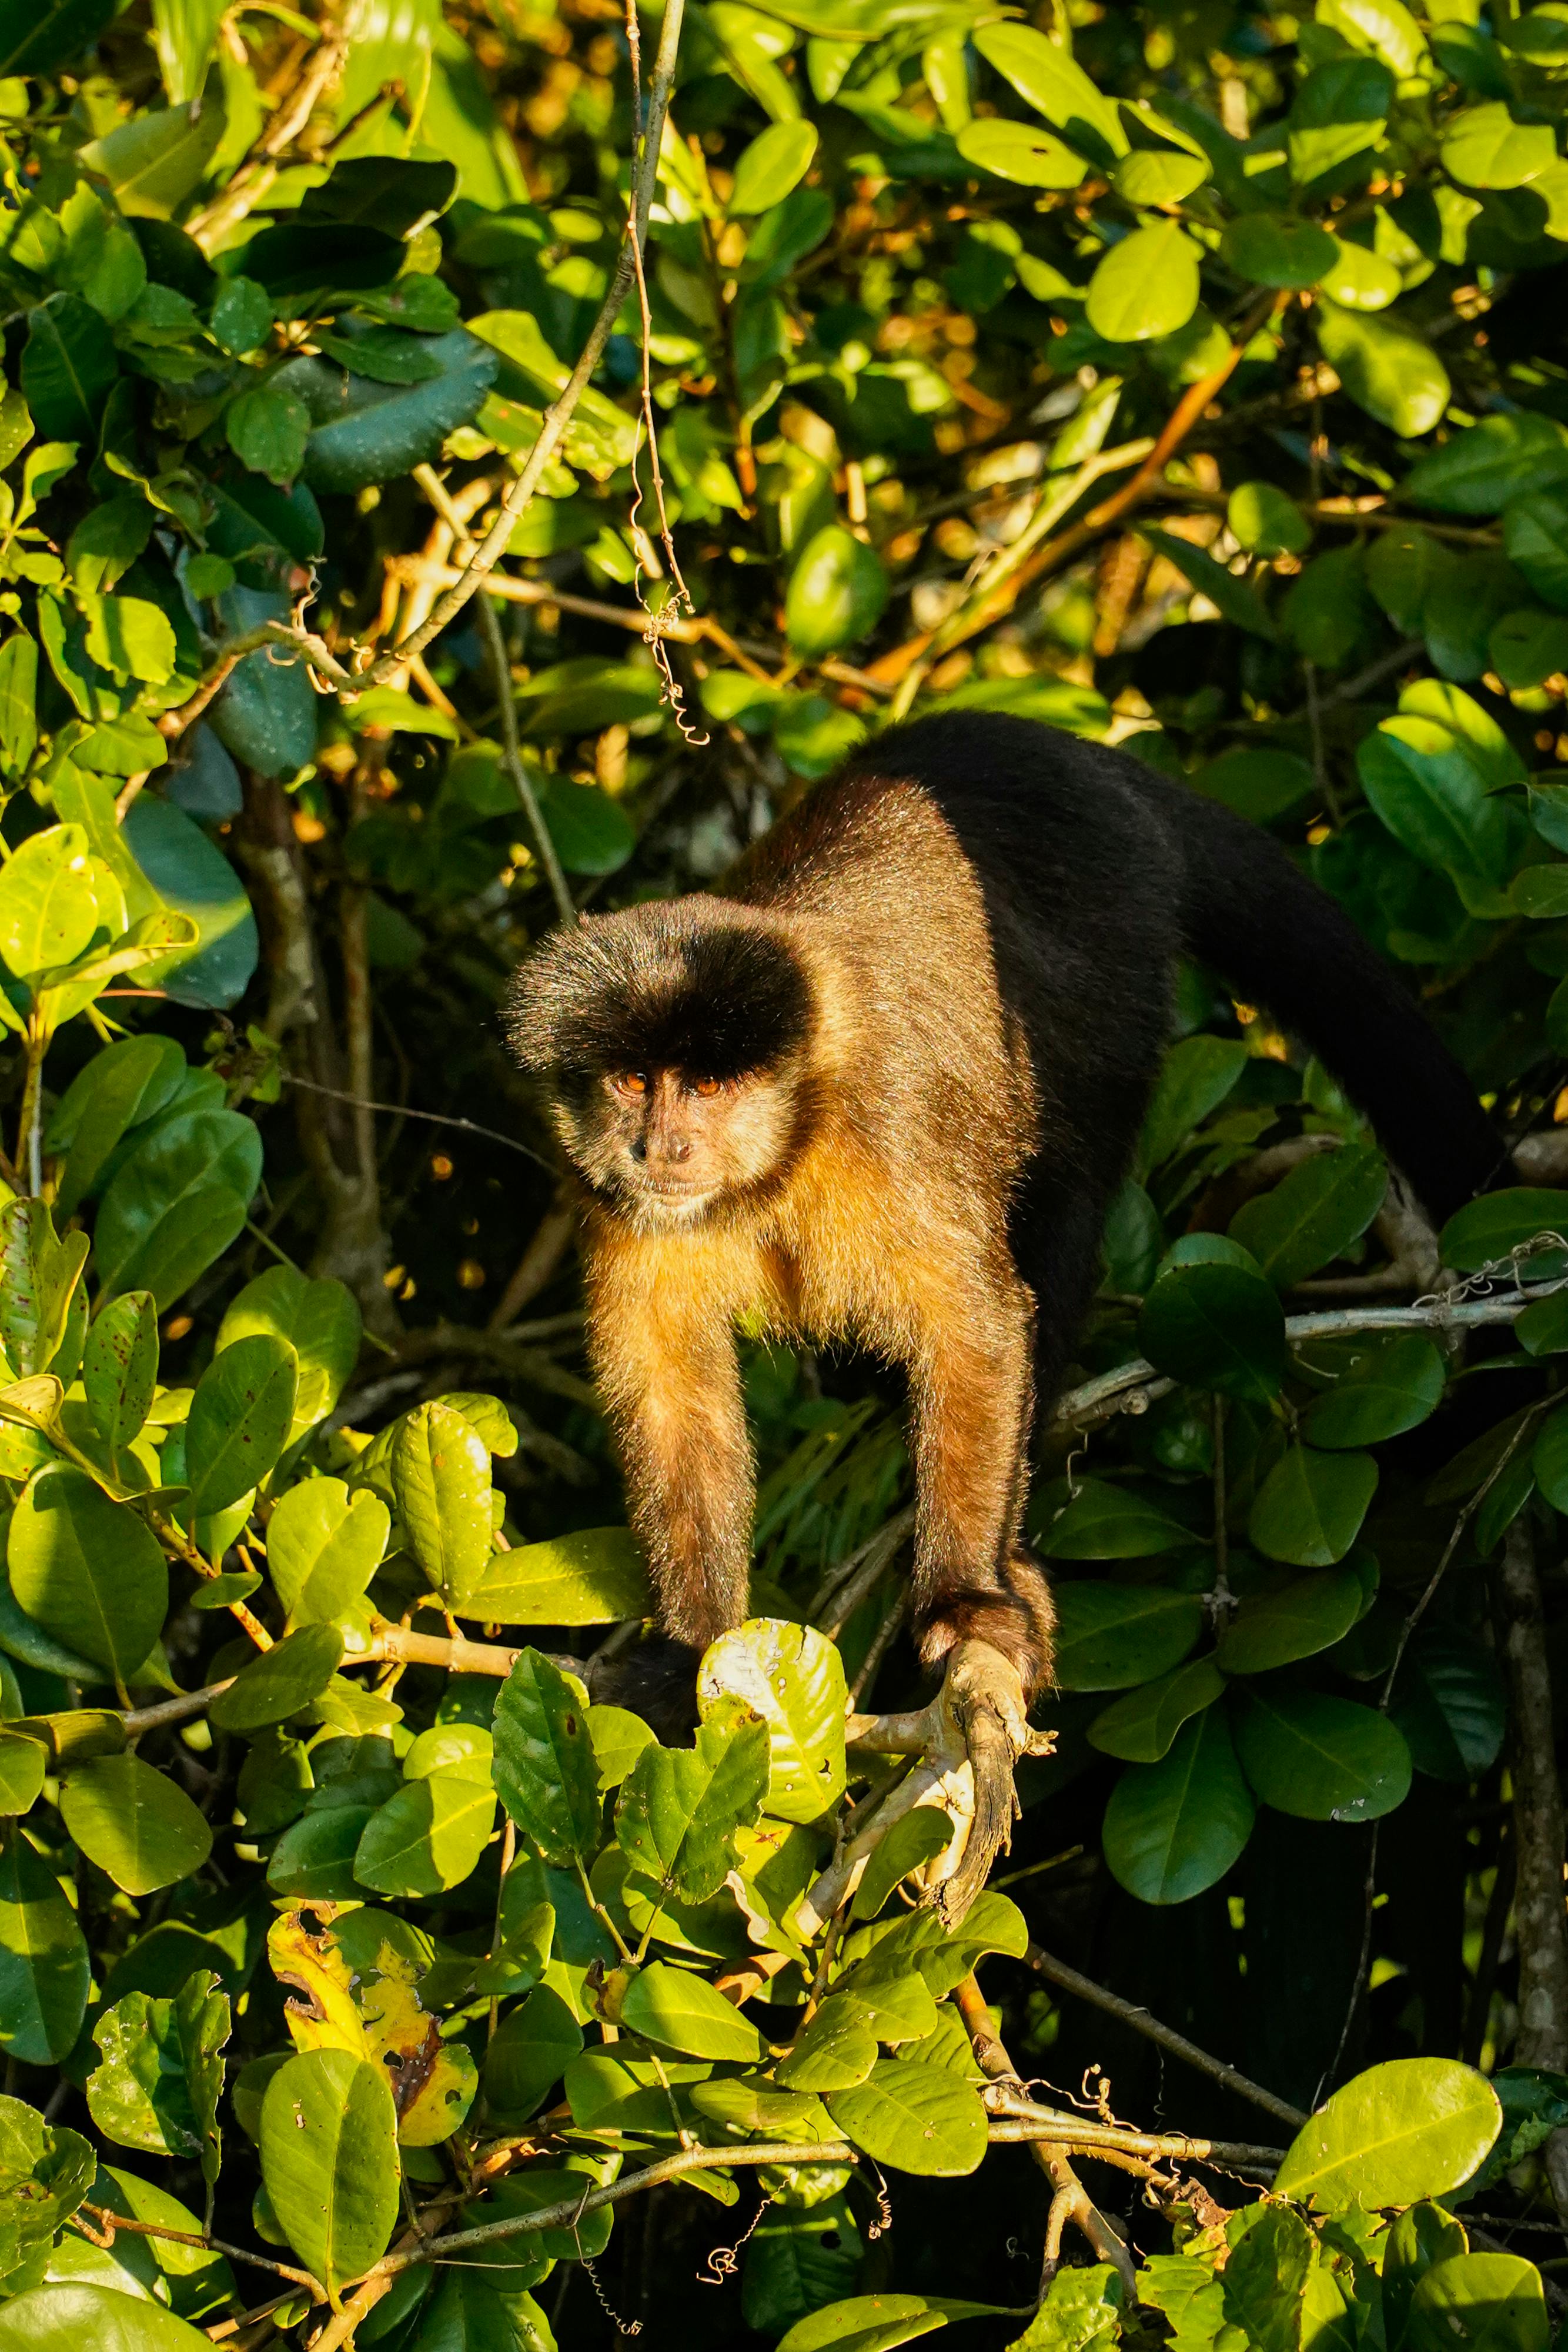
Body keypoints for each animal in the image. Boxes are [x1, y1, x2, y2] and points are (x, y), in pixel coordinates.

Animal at [504, 712, 1507, 1727]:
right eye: (635, 1083)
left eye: (706, 1087)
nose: (660, 1148)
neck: (778, 1163)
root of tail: (1082, 761)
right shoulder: (610, 1202)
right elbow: (671, 1397)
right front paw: (687, 1652)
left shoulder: (884, 1127)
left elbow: (973, 1328)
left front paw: (965, 1597)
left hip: (1115, 962)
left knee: (1061, 1210)